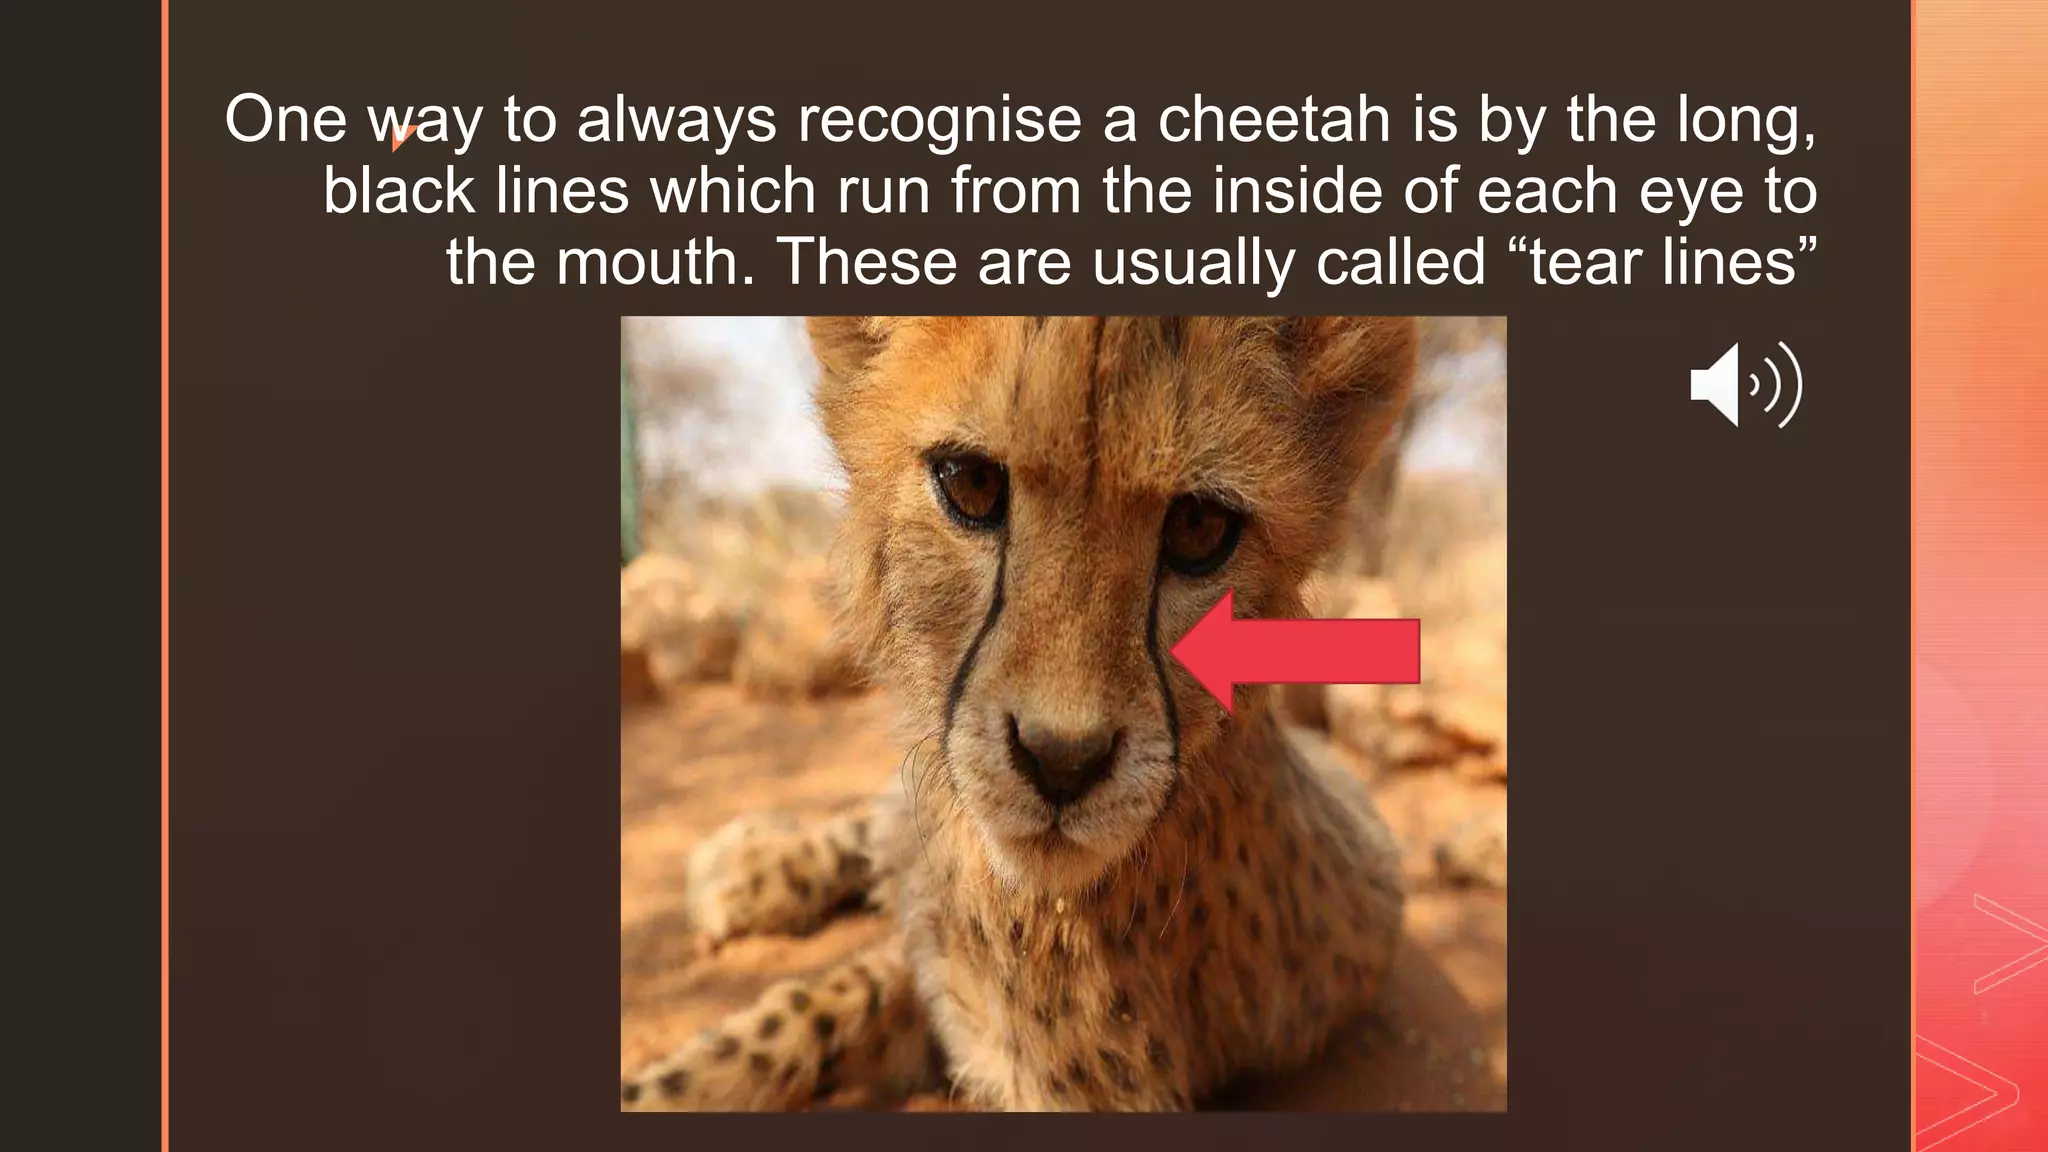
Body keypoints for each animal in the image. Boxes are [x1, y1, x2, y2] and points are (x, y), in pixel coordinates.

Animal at [622, 316, 1416, 1112]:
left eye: (1199, 526)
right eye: (971, 483)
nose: (1062, 762)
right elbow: (818, 998)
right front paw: (666, 1086)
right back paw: (749, 861)